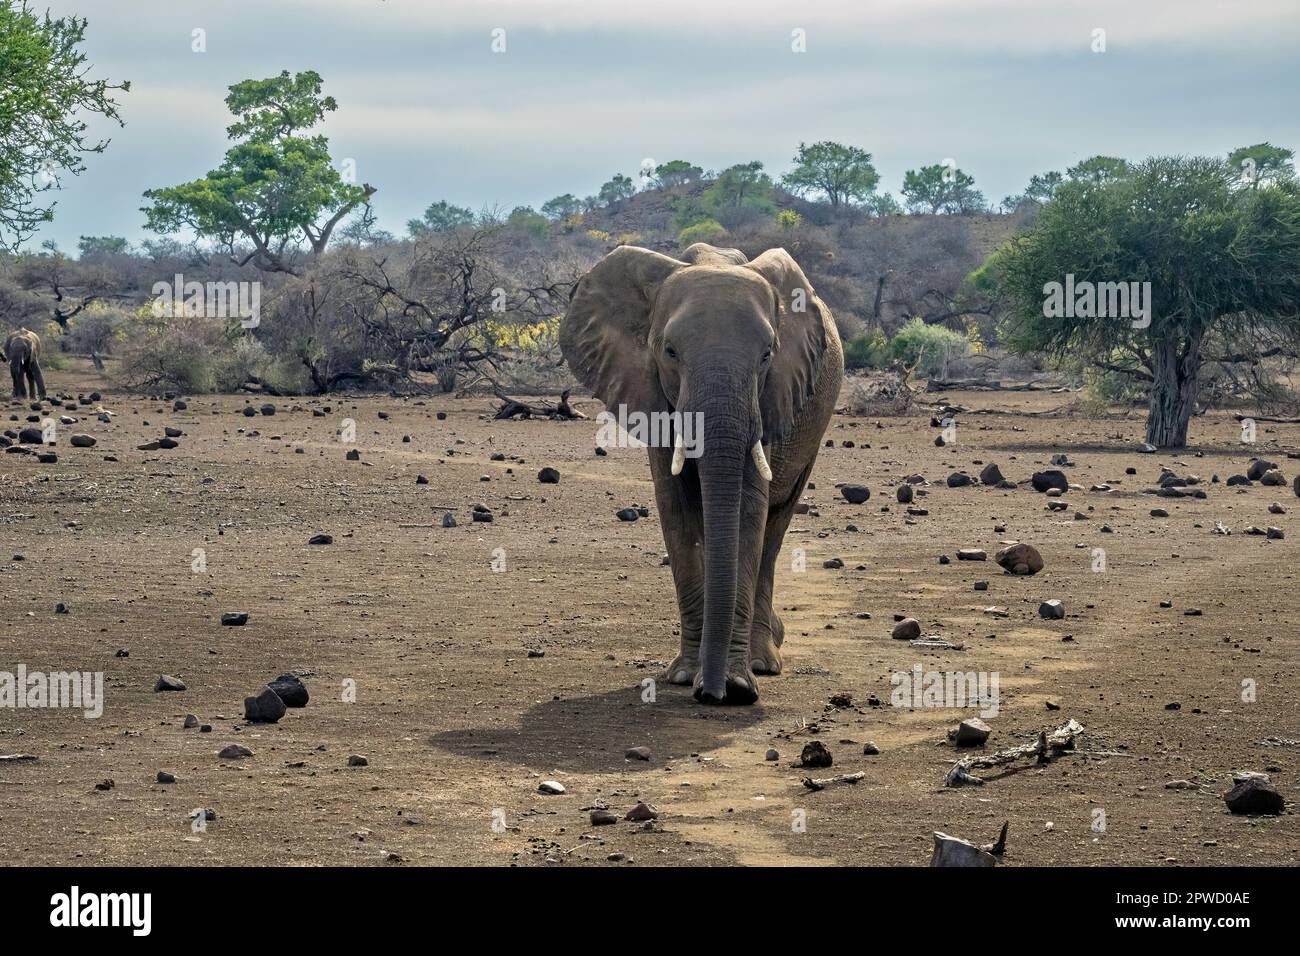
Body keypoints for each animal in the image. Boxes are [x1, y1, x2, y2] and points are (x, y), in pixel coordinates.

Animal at [561, 243, 843, 704]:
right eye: (670, 352)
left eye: (767, 354)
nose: (712, 694)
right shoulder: (652, 394)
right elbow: (676, 509)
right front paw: (683, 675)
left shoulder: (772, 396)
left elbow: (748, 510)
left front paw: (739, 682)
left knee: (775, 527)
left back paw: (764, 659)